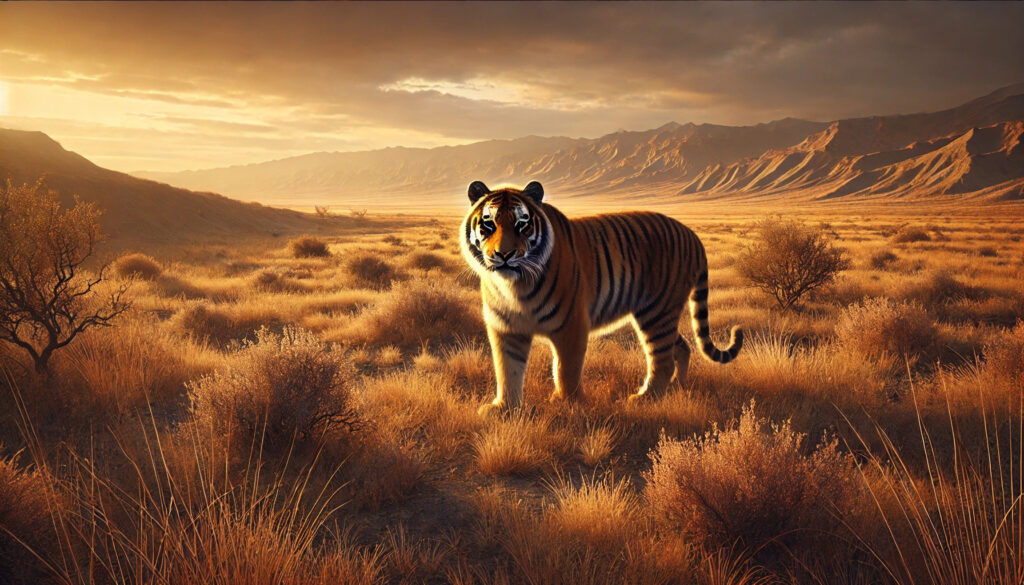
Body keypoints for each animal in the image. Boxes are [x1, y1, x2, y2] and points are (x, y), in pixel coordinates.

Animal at [459, 180, 742, 415]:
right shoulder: (505, 327)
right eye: (488, 224)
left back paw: (645, 399)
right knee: (682, 347)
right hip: (661, 314)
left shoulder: (571, 324)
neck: (513, 285)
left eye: (522, 224)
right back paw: (678, 387)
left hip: (657, 312)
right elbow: (507, 370)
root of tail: (693, 235)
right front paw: (505, 408)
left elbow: (567, 368)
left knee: (662, 360)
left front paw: (566, 403)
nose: (504, 255)